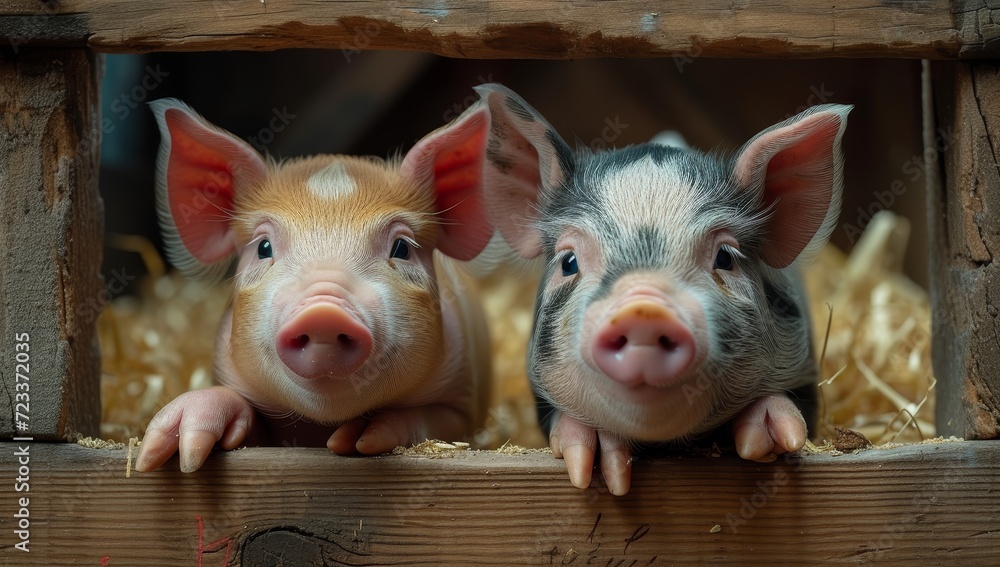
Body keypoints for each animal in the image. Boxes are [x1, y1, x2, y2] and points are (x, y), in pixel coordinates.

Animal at [135, 98, 493, 473]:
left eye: (402, 248)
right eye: (263, 247)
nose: (324, 312)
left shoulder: (463, 398)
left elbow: (434, 421)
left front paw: (358, 439)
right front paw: (167, 457)